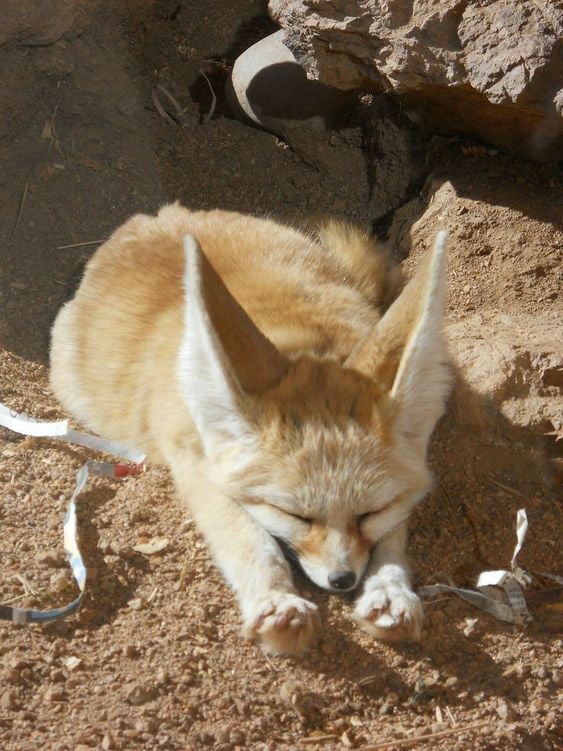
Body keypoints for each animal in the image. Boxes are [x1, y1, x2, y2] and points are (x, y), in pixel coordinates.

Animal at [50, 203, 451, 655]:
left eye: (370, 512)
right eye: (293, 514)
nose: (342, 580)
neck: (306, 341)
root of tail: (157, 216)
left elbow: (394, 535)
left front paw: (391, 589)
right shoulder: (193, 460)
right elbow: (246, 537)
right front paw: (275, 599)